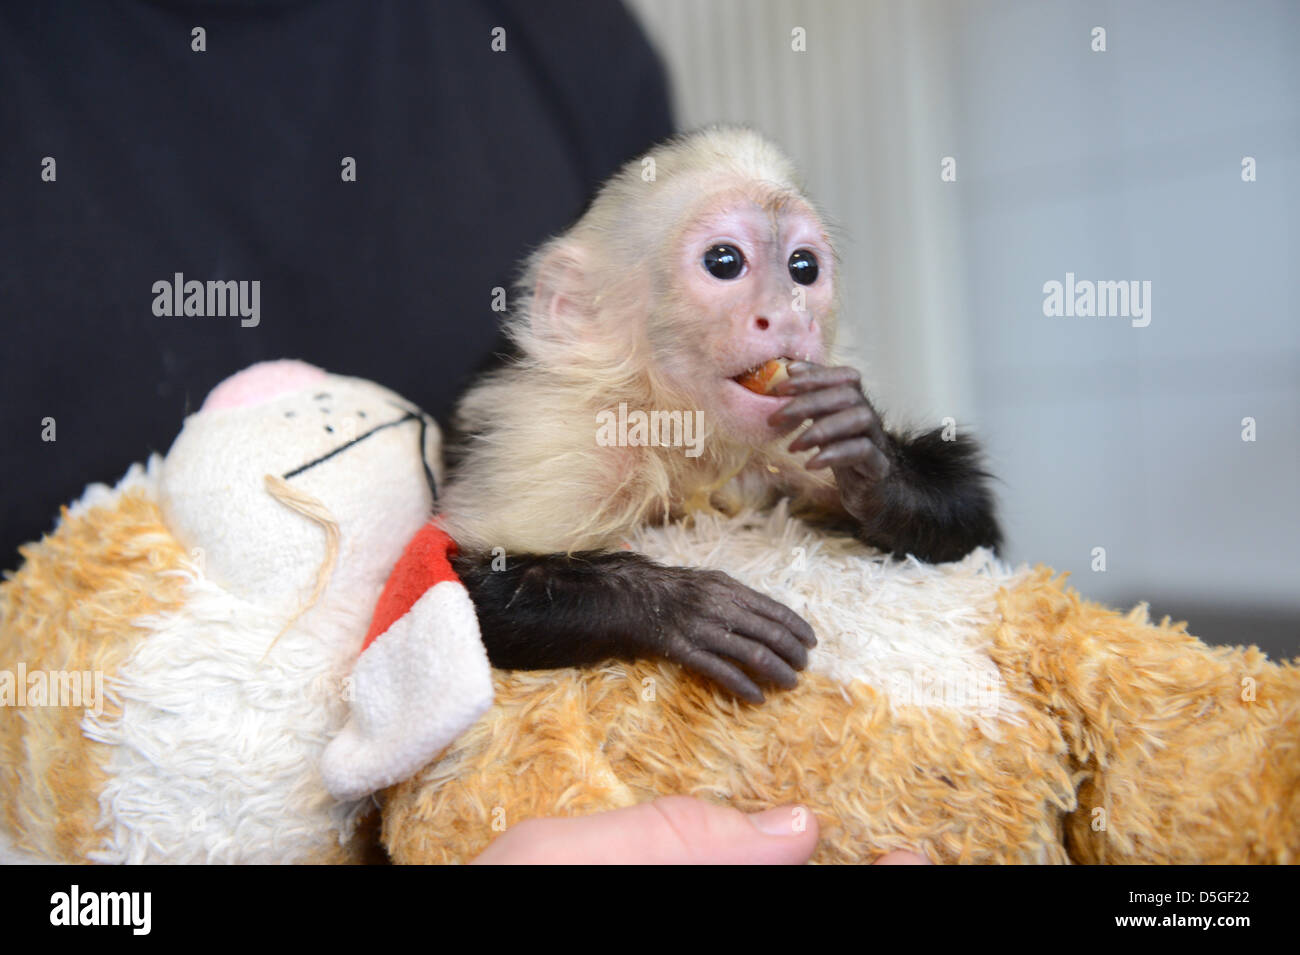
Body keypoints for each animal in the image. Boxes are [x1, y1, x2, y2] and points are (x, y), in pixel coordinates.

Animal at [442, 127, 1001, 703]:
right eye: (725, 262)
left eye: (804, 268)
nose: (786, 315)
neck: (679, 423)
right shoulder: (568, 436)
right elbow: (456, 588)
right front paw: (686, 608)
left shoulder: (788, 430)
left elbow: (972, 534)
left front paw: (869, 459)